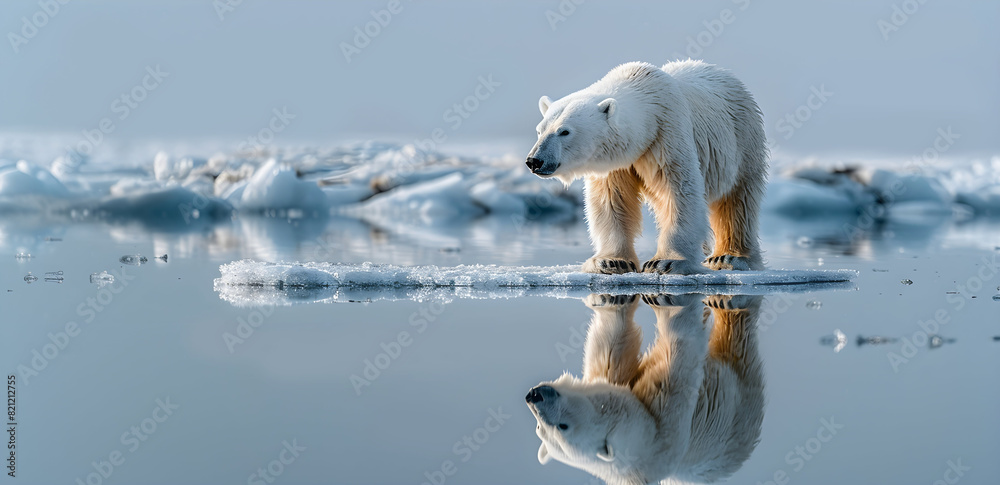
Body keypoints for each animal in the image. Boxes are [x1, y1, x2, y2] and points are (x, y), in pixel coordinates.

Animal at [525, 293, 766, 485]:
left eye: (539, 429)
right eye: (560, 427)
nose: (533, 395)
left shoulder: (613, 377)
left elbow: (611, 342)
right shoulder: (665, 421)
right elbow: (676, 353)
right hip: (740, 407)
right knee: (737, 340)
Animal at [526, 60, 768, 275]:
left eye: (564, 131)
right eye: (540, 130)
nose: (534, 161)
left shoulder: (667, 135)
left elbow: (679, 191)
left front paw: (665, 262)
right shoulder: (616, 161)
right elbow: (611, 200)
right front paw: (611, 262)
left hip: (741, 140)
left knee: (738, 200)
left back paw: (728, 257)